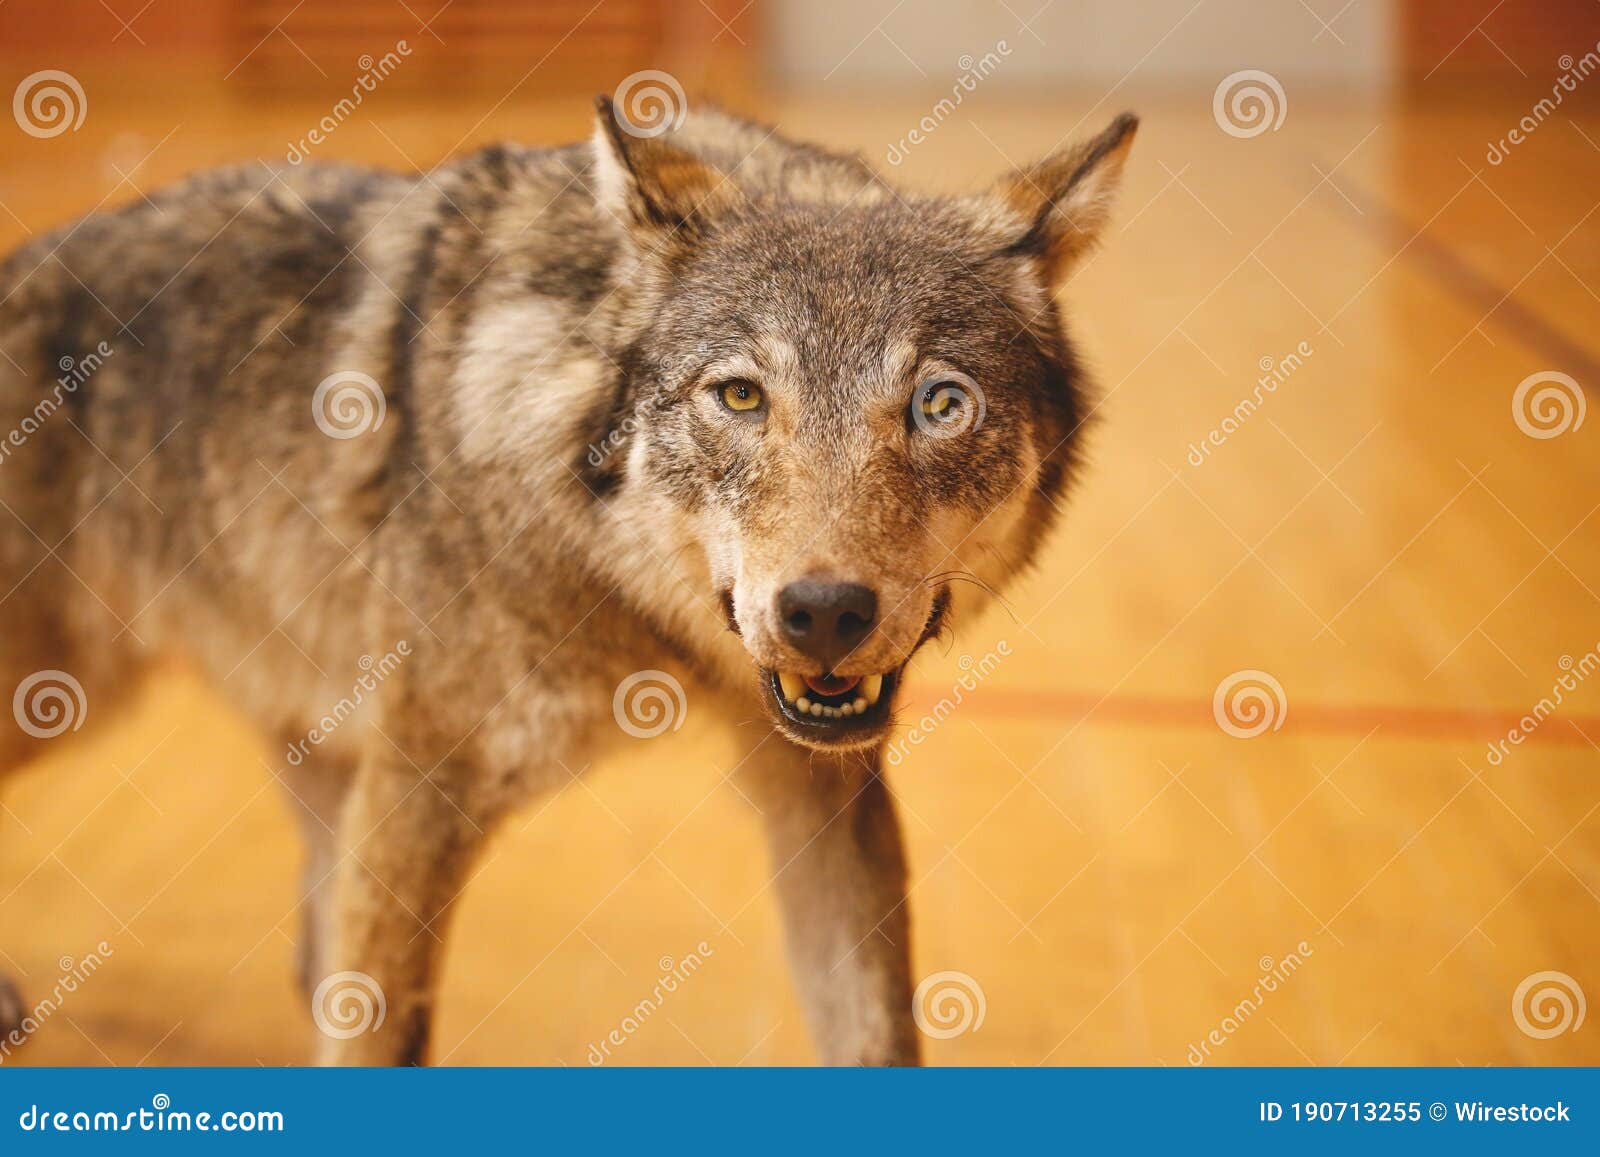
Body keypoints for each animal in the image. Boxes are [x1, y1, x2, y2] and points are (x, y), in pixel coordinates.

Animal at [0, 97, 1135, 1065]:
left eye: (940, 404)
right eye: (740, 396)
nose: (821, 613)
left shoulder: (820, 792)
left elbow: (875, 1034)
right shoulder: (416, 791)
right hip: (69, 699)